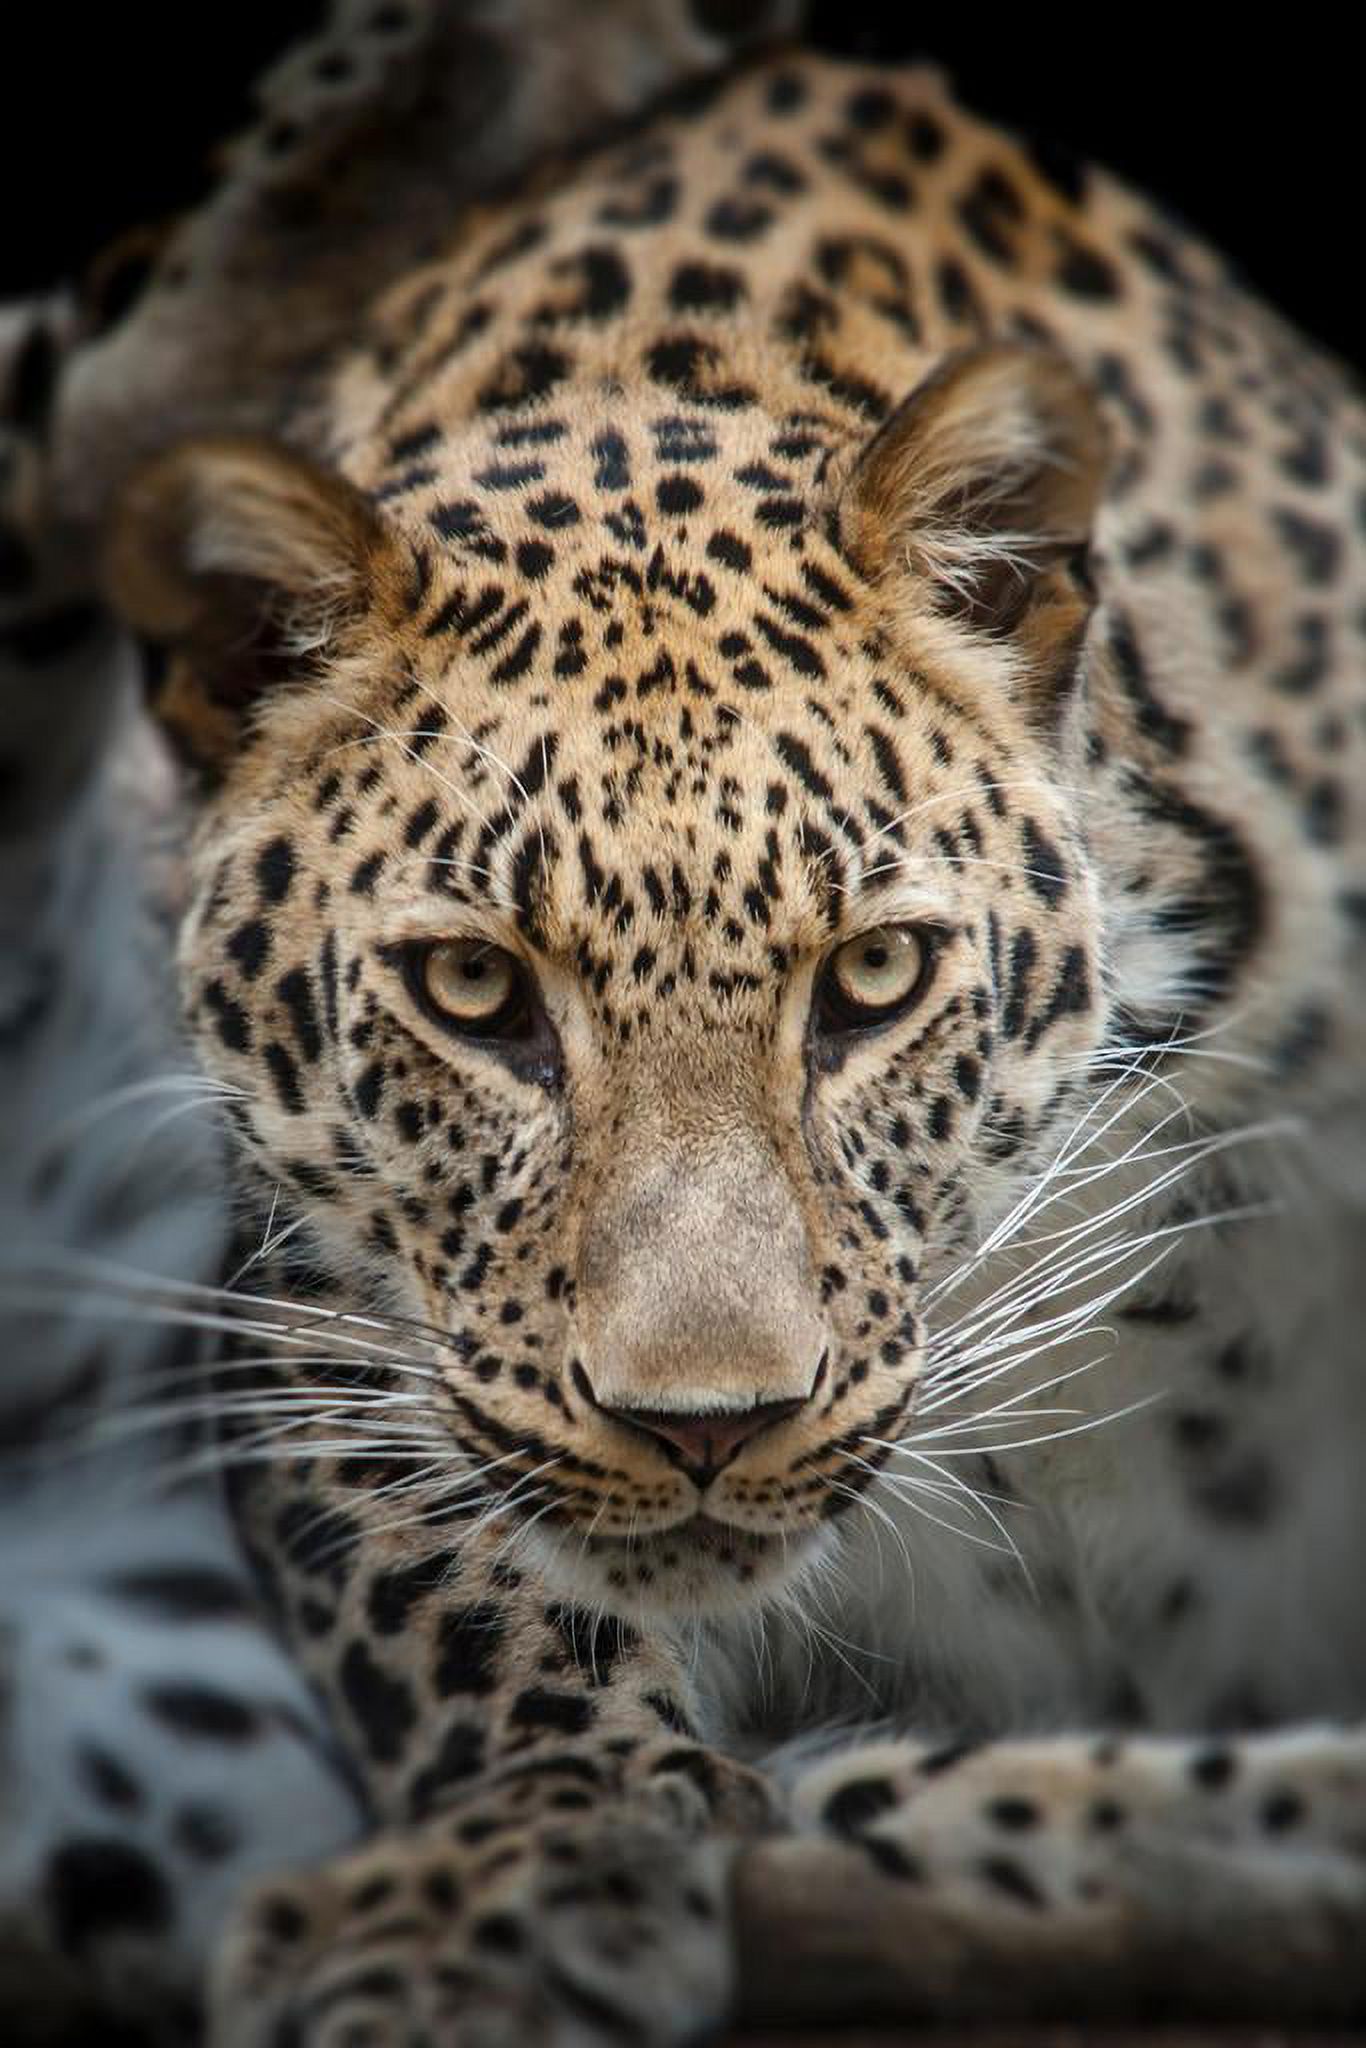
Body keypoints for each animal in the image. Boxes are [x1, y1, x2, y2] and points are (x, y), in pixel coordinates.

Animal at [4, 2, 1366, 2042]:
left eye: (872, 979)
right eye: (473, 990)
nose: (706, 1429)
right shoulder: (312, 1322)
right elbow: (466, 1601)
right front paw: (507, 1872)